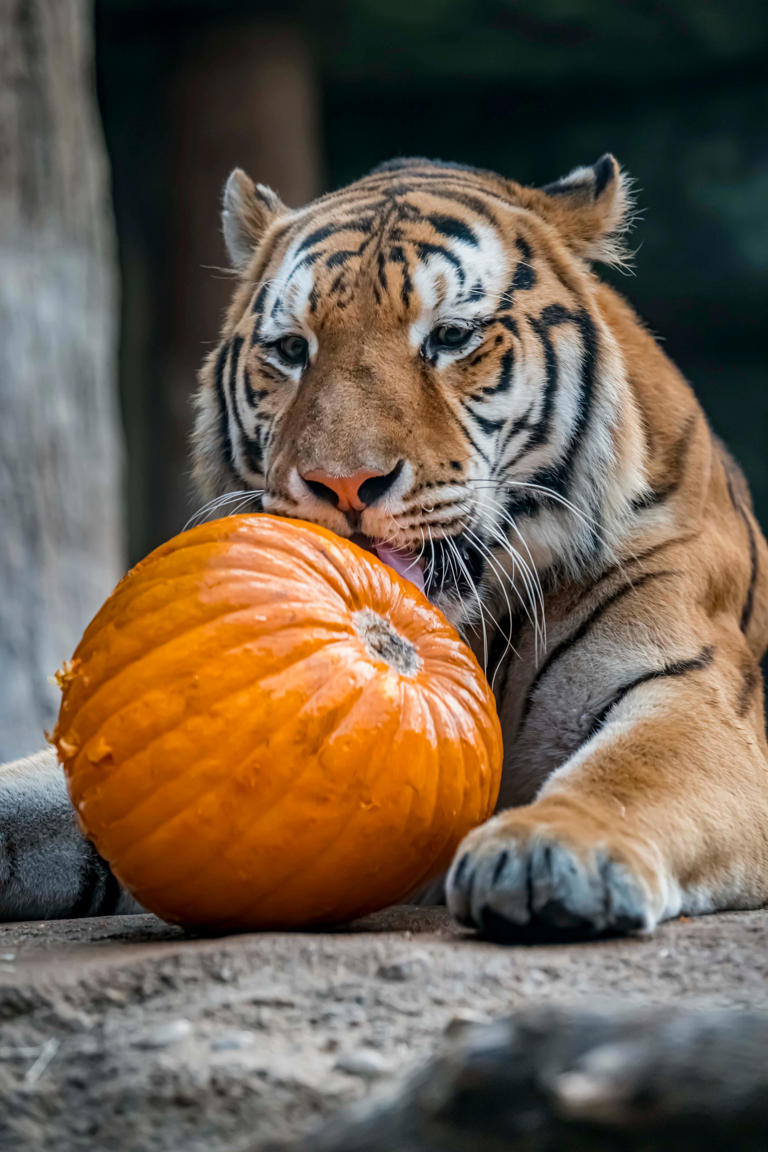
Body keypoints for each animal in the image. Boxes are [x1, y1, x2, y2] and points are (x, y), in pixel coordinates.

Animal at [1, 154, 767, 936]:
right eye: (291, 350)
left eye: (451, 337)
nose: (343, 483)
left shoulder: (689, 690)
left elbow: (632, 770)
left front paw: (545, 851)